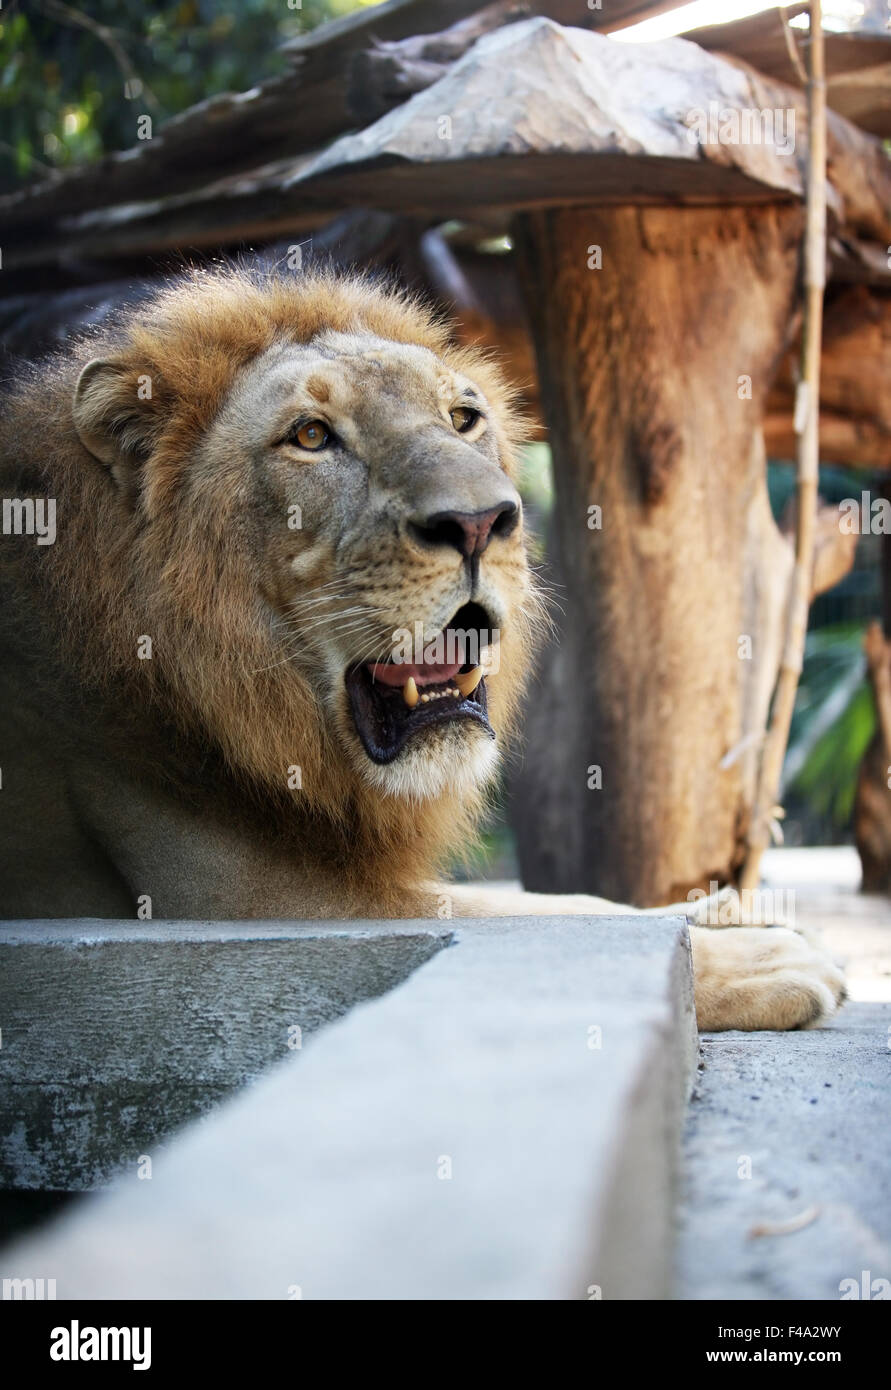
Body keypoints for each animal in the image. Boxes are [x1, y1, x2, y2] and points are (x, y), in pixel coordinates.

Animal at [0, 266, 845, 1031]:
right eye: (311, 436)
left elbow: (556, 903)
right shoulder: (234, 900)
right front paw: (768, 957)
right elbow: (520, 925)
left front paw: (726, 907)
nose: (479, 522)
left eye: (463, 417)